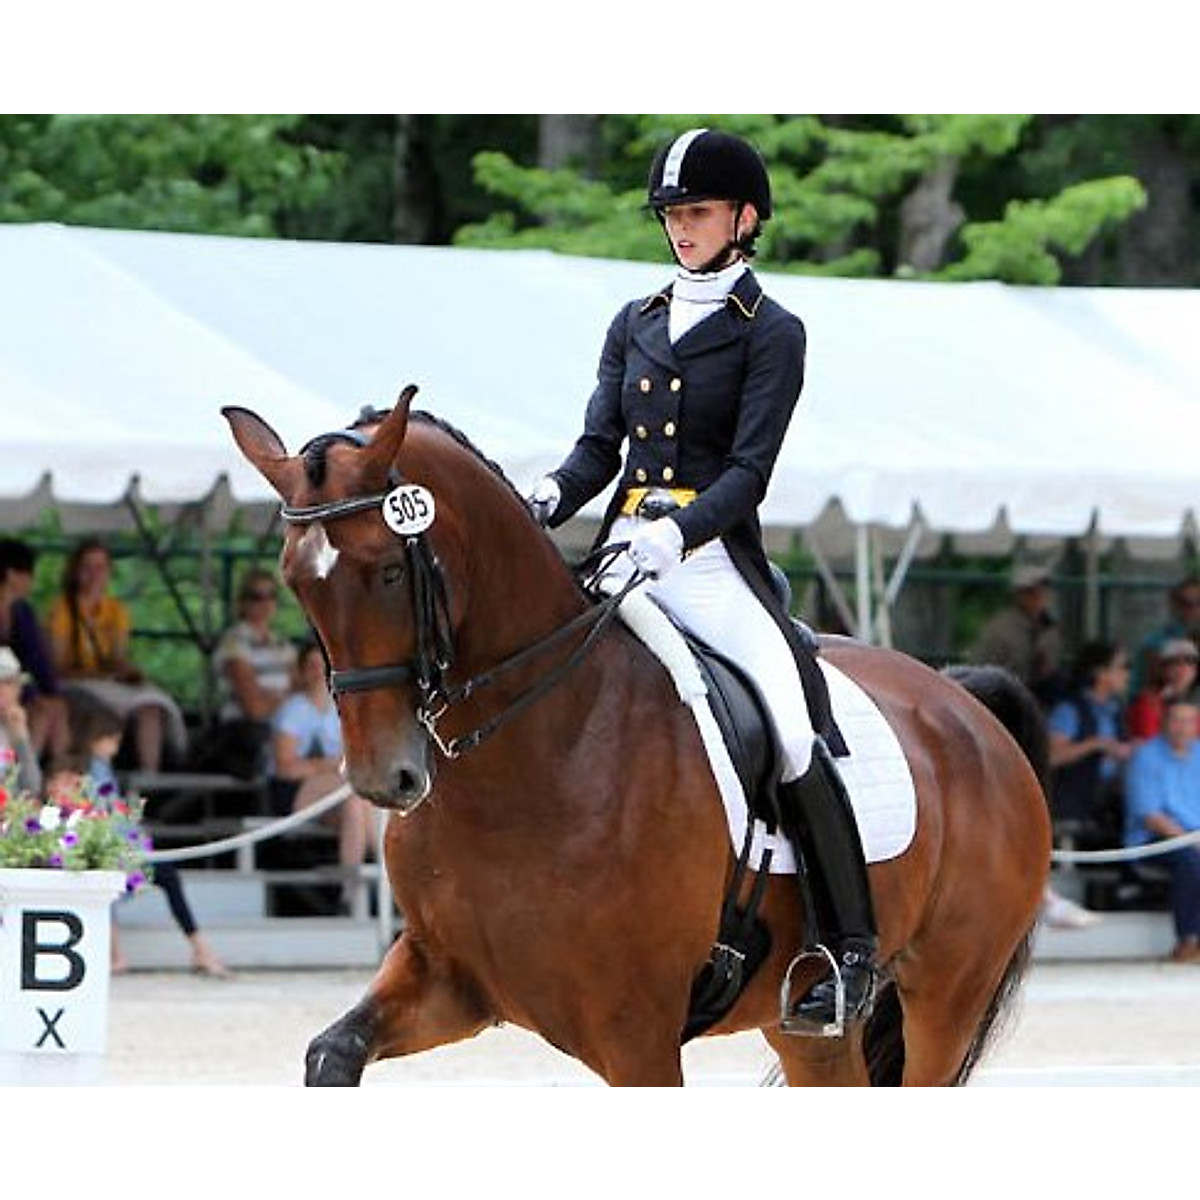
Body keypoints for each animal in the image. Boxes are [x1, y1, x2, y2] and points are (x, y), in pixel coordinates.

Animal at [224, 388, 1051, 1086]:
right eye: (296, 581)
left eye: (390, 571)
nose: (382, 777)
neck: (529, 760)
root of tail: (965, 704)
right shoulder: (449, 979)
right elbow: (331, 1054)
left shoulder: (638, 1034)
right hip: (810, 1029)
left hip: (946, 992)